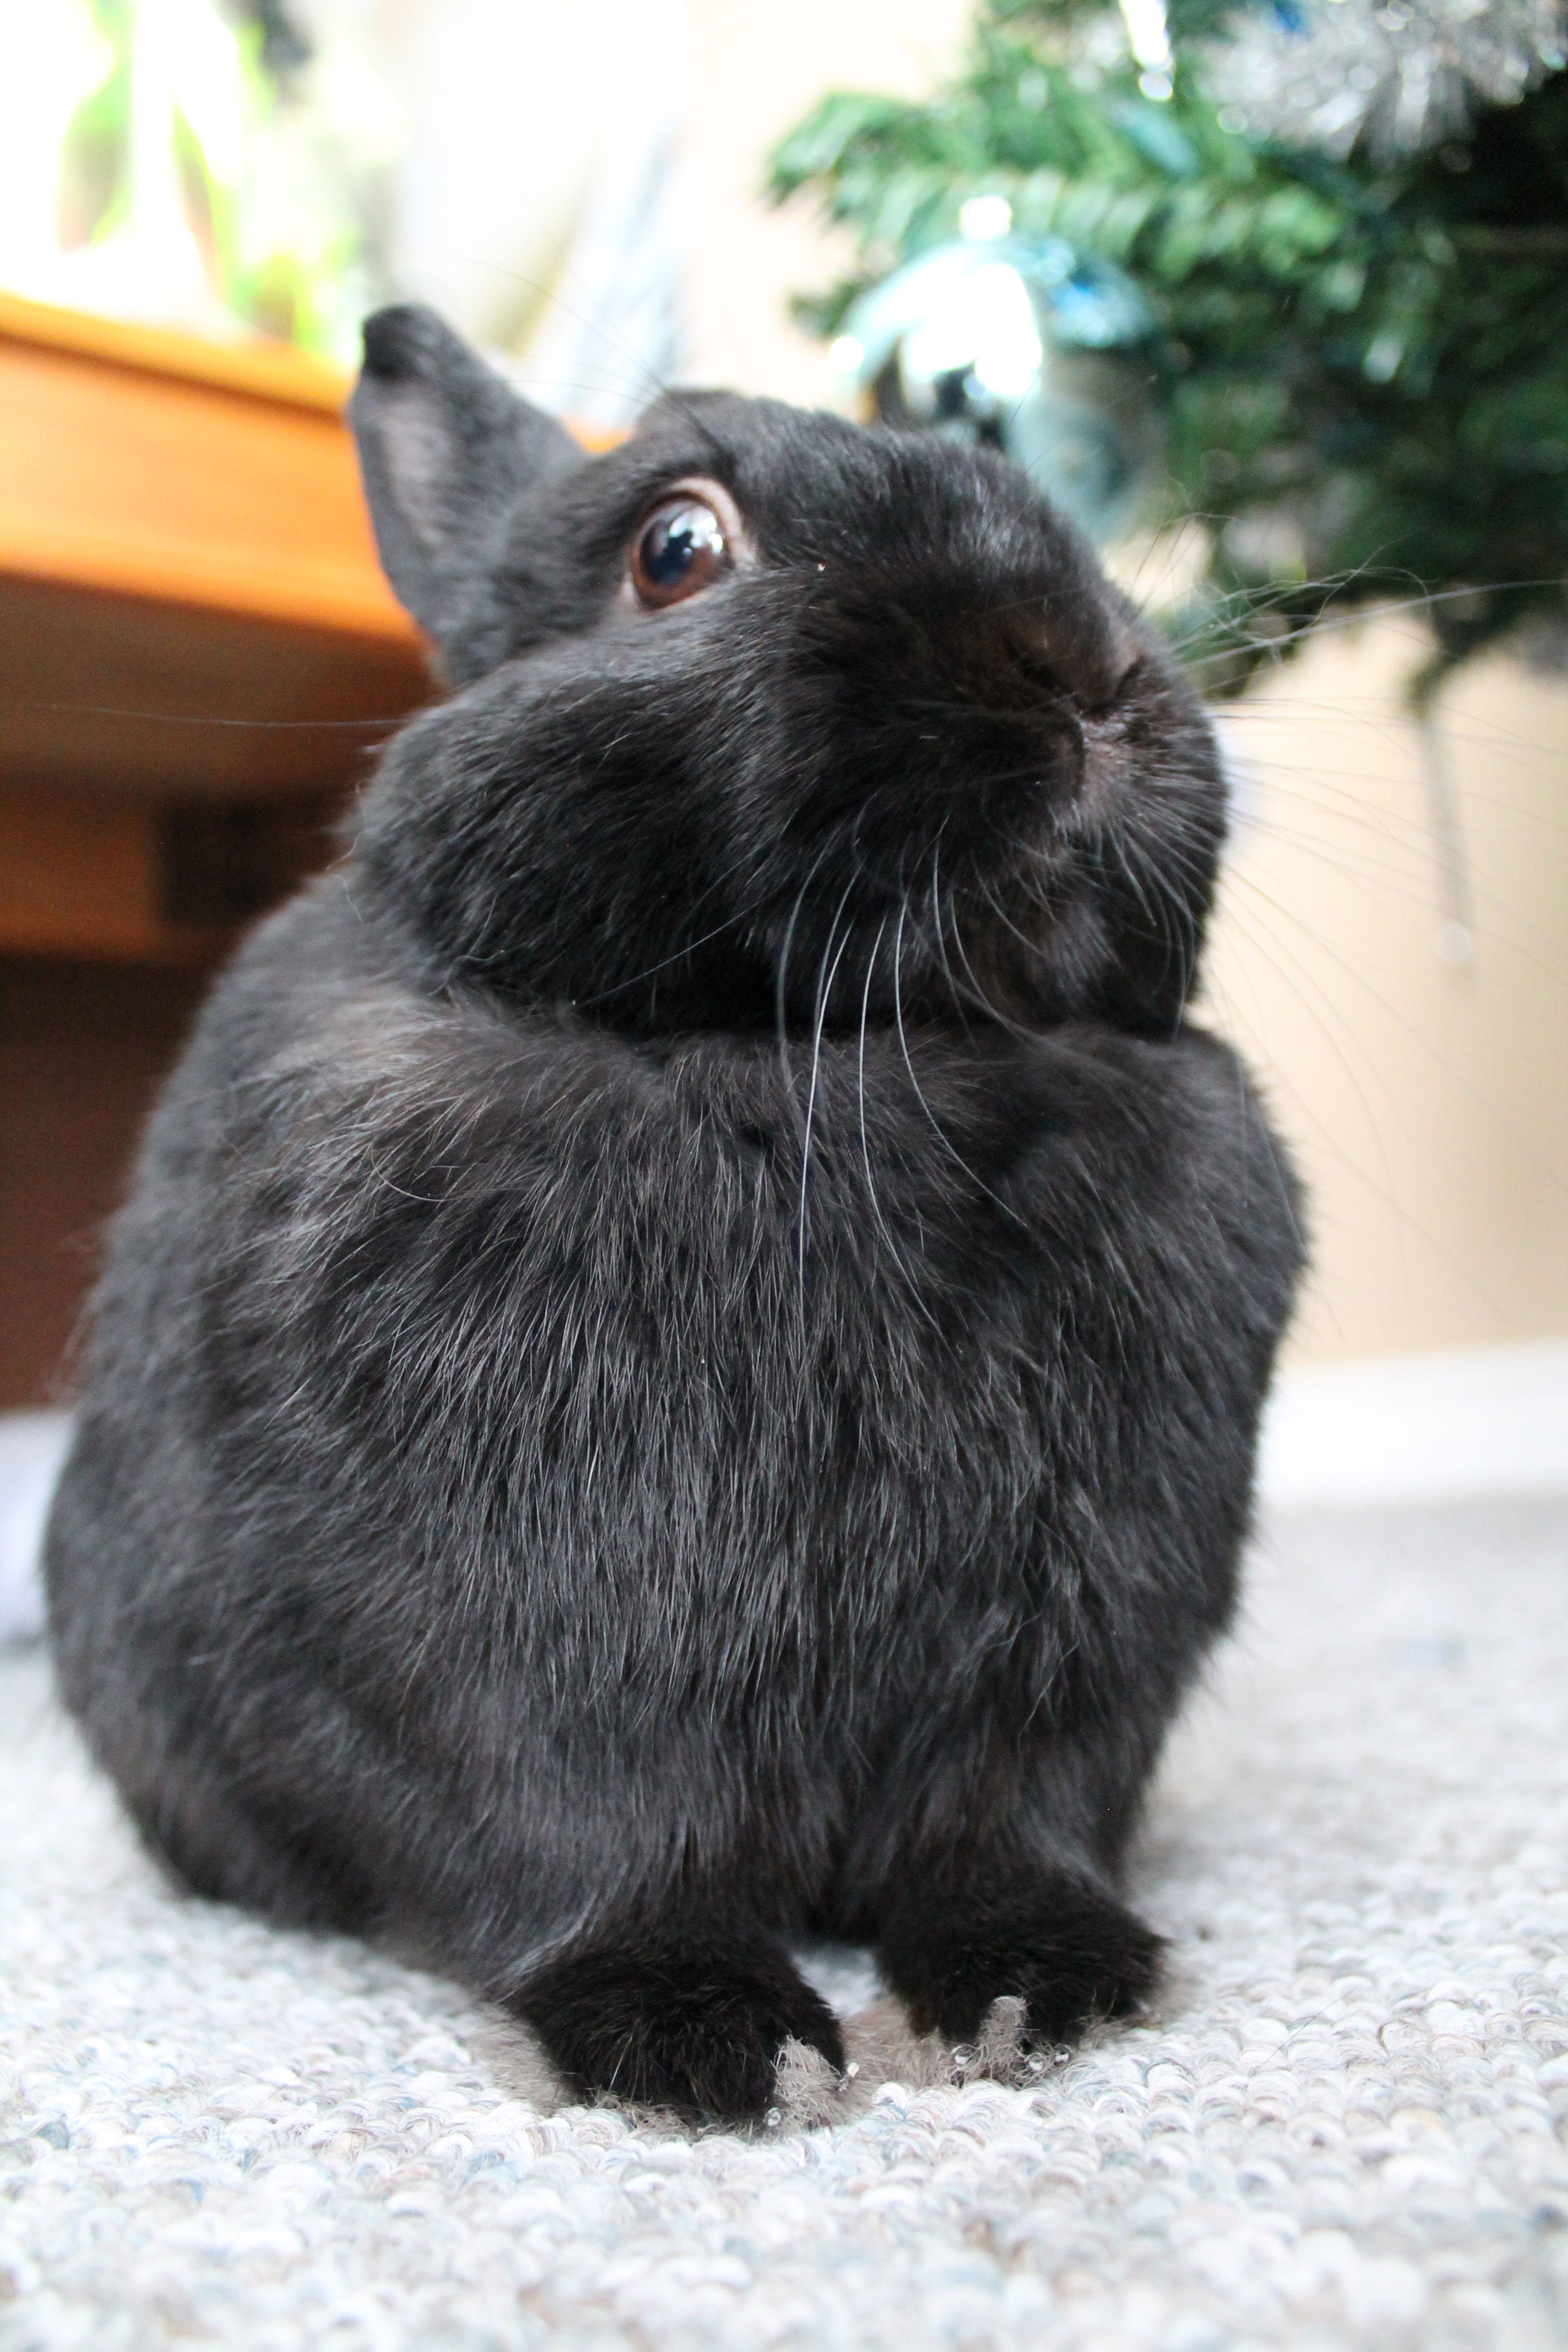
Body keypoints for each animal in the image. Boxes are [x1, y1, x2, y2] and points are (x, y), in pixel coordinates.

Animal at [44, 304, 1305, 2122]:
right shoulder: (509, 1647)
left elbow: (1010, 1827)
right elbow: (597, 1838)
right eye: (675, 550)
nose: (1079, 665)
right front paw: (704, 2043)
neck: (835, 1056)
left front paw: (1043, 1991)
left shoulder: (1075, 1644)